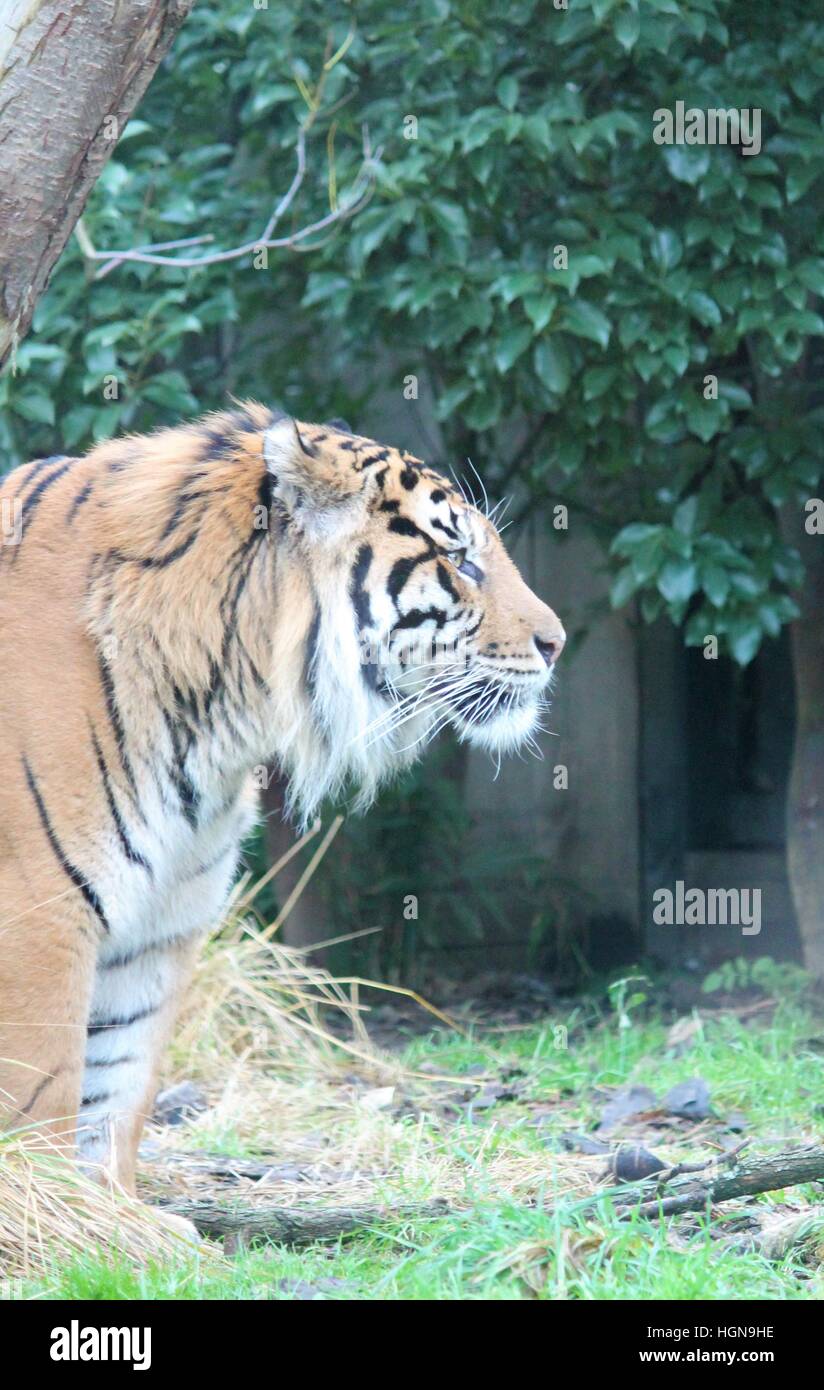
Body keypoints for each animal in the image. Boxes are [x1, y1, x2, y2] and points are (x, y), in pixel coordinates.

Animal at [0, 403, 565, 1230]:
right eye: (459, 559)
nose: (556, 643)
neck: (217, 718)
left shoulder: (156, 929)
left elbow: (112, 1097)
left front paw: (122, 1231)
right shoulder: (40, 918)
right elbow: (41, 1101)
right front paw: (55, 1229)